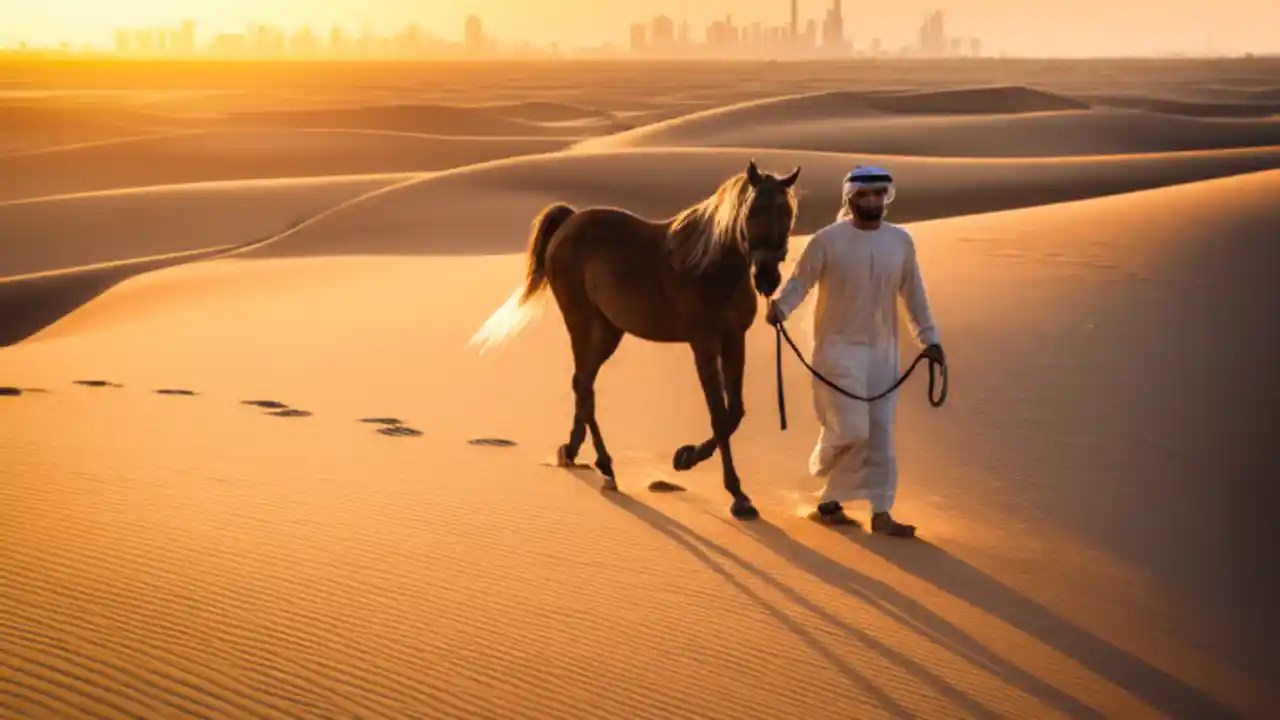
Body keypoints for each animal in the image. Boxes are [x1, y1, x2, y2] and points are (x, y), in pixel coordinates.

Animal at [472, 160, 800, 519]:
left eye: (787, 214)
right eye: (752, 211)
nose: (767, 278)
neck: (713, 268)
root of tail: (570, 222)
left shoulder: (734, 339)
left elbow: (735, 412)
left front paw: (701, 466)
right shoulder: (703, 343)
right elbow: (718, 413)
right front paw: (720, 482)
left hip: (608, 331)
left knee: (584, 384)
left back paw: (578, 454)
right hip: (582, 321)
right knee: (582, 383)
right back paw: (600, 462)